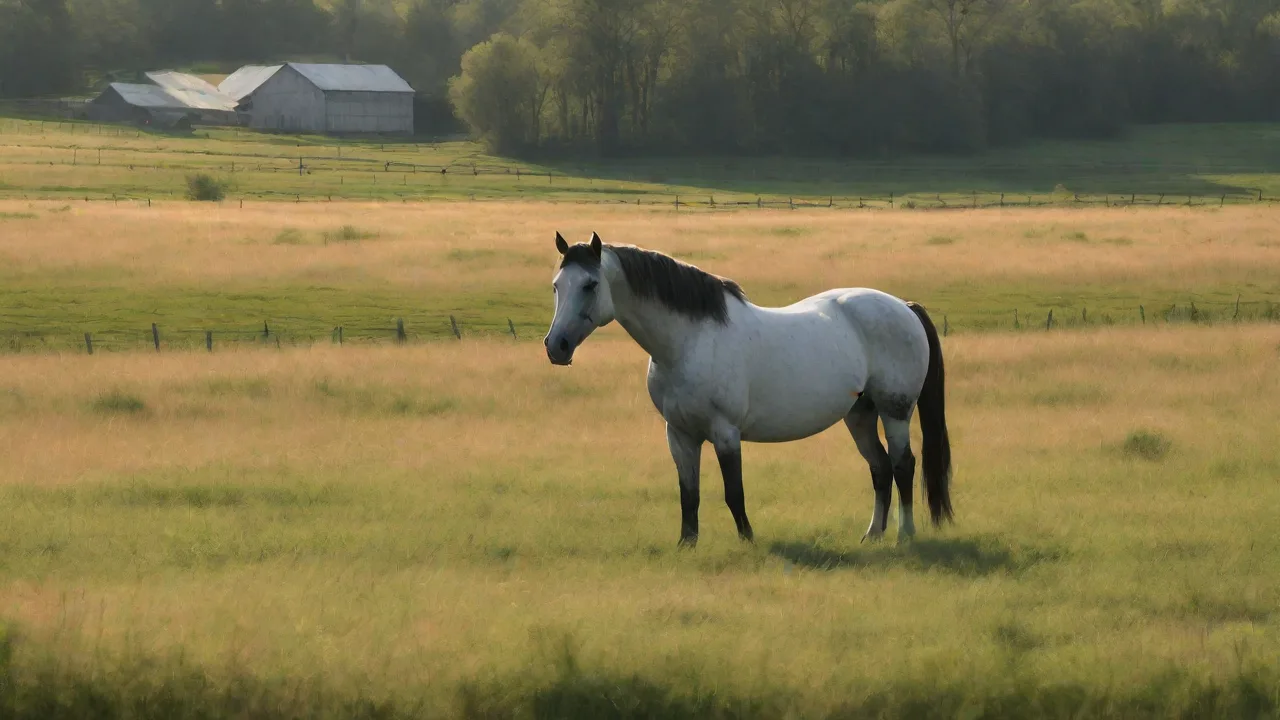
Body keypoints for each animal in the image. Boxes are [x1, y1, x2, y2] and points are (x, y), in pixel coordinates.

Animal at [542, 231, 952, 548]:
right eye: (557, 286)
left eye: (591, 284)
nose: (555, 346)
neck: (689, 341)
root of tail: (904, 306)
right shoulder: (679, 434)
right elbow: (688, 494)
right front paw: (687, 544)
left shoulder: (725, 432)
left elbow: (733, 491)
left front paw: (747, 540)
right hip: (860, 416)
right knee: (880, 468)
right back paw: (872, 535)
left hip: (895, 411)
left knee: (902, 465)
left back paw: (905, 535)